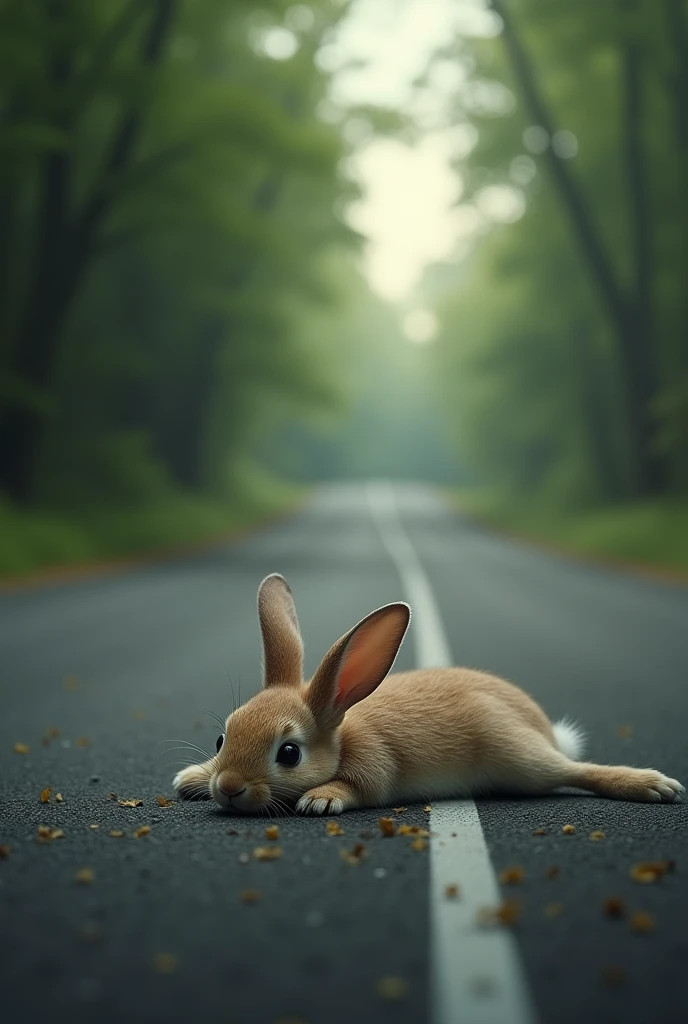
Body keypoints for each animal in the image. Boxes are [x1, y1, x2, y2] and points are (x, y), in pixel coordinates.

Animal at [173, 573, 685, 814]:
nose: (229, 787)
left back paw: (653, 786)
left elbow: (358, 787)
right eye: (222, 739)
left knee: (574, 772)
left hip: (518, 756)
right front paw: (191, 778)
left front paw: (320, 799)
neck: (343, 732)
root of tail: (545, 729)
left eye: (289, 753)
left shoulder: (373, 768)